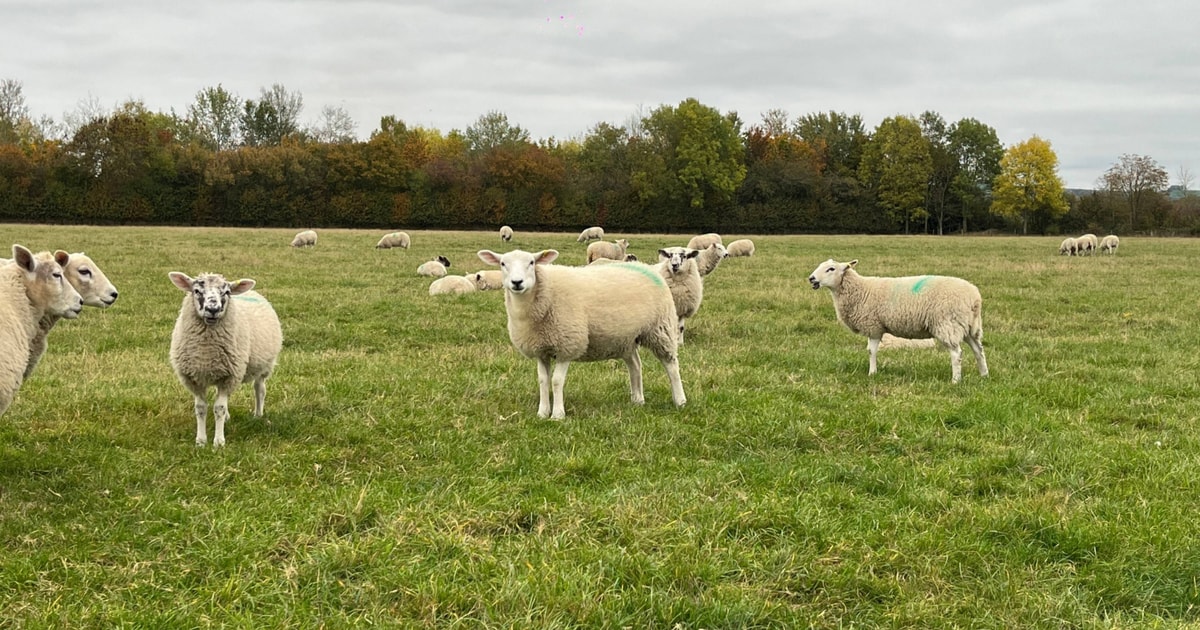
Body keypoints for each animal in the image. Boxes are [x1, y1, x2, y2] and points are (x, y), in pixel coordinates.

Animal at [168, 272, 282, 447]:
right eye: (196, 291)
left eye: (227, 292)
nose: (212, 309)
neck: (206, 352)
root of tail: (251, 291)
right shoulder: (194, 379)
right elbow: (200, 408)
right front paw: (200, 441)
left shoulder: (229, 376)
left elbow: (219, 408)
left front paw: (219, 441)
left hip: (264, 366)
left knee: (260, 389)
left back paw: (258, 415)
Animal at [476, 248, 686, 419]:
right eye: (503, 264)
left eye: (532, 262)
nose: (517, 282)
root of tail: (644, 266)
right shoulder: (541, 349)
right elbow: (543, 381)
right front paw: (542, 412)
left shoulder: (567, 344)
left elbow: (556, 381)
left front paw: (558, 415)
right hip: (626, 338)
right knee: (635, 365)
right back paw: (638, 400)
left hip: (660, 329)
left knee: (672, 366)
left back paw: (680, 400)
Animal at [808, 258, 988, 383]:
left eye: (831, 269)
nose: (811, 278)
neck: (861, 289)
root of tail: (974, 298)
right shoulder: (876, 327)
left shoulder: (874, 326)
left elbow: (871, 351)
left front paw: (872, 373)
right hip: (969, 327)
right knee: (978, 350)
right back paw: (984, 375)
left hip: (948, 324)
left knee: (956, 354)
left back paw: (955, 380)